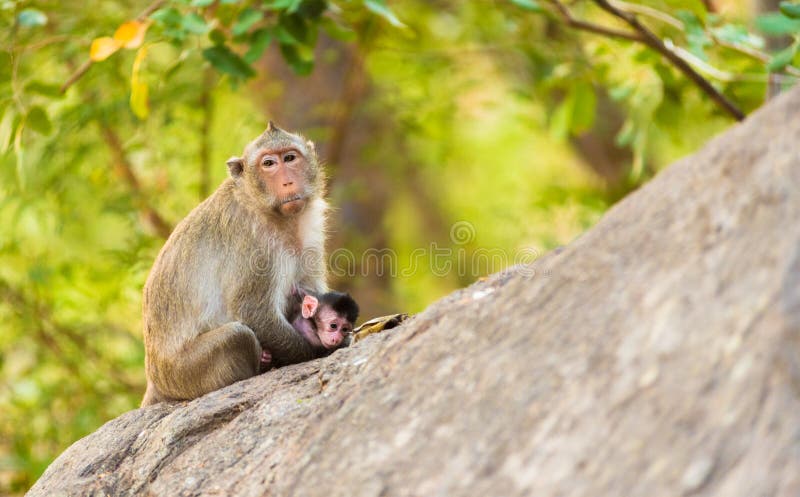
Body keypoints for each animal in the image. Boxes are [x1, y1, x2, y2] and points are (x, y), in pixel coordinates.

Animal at [141, 121, 328, 407]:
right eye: (269, 163)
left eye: (290, 158)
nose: (288, 181)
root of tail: (154, 379)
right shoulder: (253, 242)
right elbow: (253, 311)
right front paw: (315, 351)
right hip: (186, 372)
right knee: (237, 336)